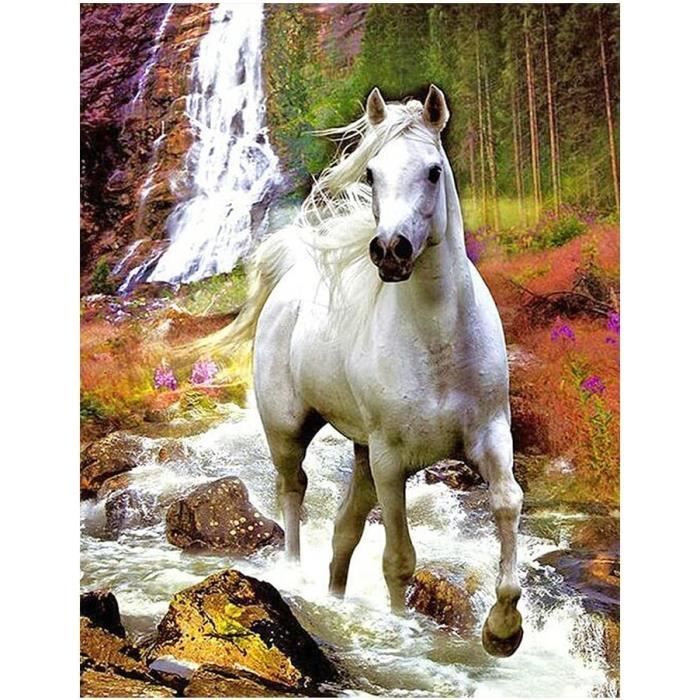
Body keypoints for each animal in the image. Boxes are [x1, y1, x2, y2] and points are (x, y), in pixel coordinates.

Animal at [203, 85, 524, 657]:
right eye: (371, 173)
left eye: (433, 171)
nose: (390, 250)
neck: (439, 341)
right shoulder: (391, 460)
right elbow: (399, 560)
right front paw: (402, 632)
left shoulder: (490, 435)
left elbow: (507, 503)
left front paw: (503, 630)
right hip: (289, 430)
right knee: (293, 491)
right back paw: (293, 575)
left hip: (358, 451)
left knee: (344, 527)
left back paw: (334, 595)